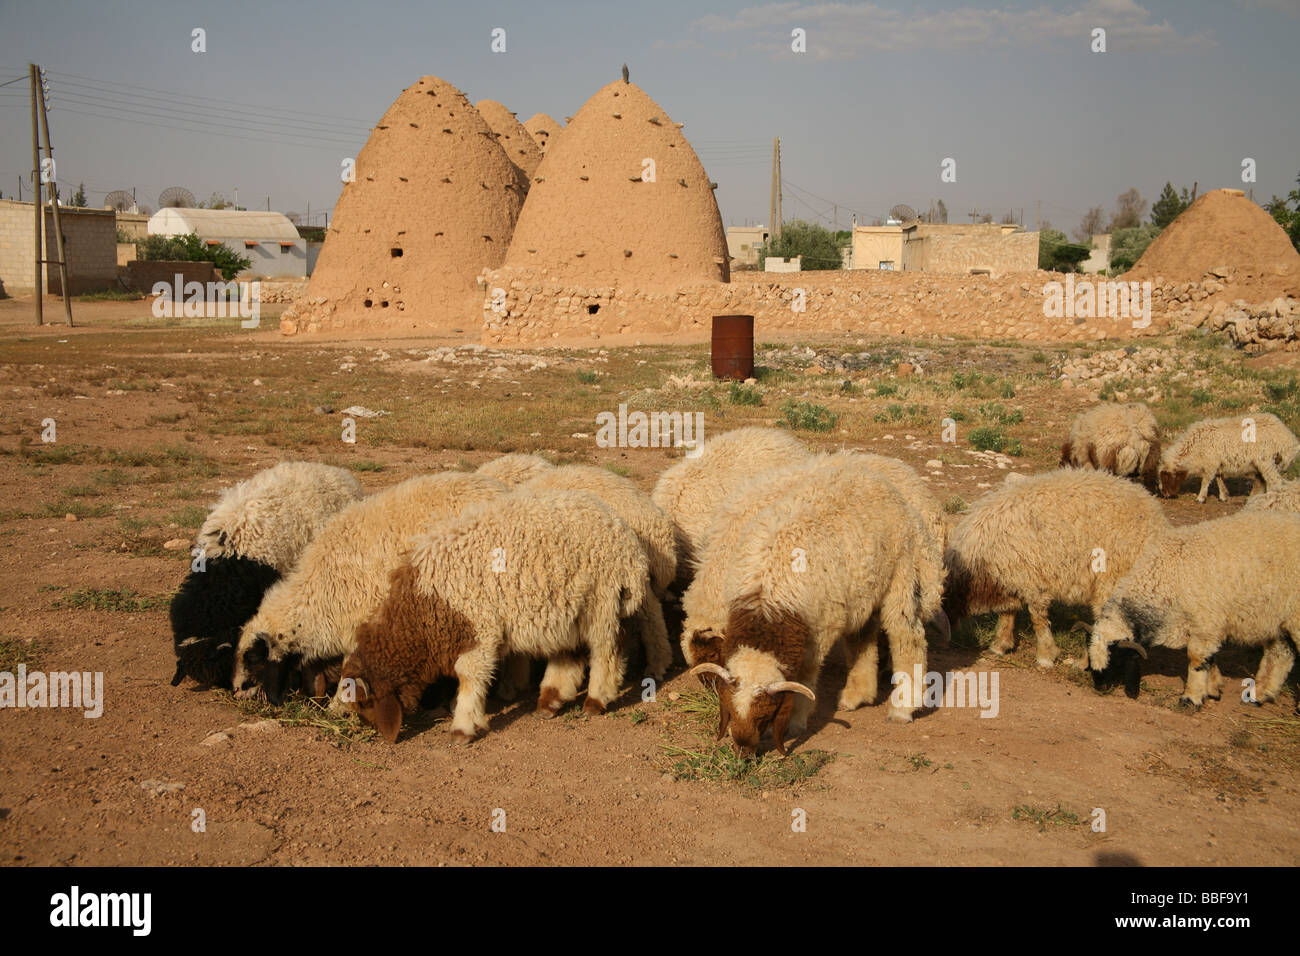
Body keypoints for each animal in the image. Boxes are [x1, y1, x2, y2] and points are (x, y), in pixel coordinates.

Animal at [340, 489, 647, 743]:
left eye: (364, 703)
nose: (380, 735)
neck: (425, 605)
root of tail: (625, 534)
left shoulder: (480, 629)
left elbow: (468, 678)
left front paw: (462, 727)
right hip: (568, 607)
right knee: (568, 653)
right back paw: (550, 700)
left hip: (603, 601)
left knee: (606, 651)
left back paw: (596, 700)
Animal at [689, 459, 942, 754]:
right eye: (729, 708)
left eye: (766, 714)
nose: (744, 749)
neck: (767, 598)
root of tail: (881, 484)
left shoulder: (820, 630)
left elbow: (805, 677)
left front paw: (796, 721)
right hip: (862, 591)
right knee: (862, 639)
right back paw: (857, 694)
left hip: (901, 575)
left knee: (907, 639)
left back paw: (903, 707)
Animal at [943, 469, 1169, 668]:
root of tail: (1157, 519)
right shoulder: (1010, 574)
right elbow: (1008, 612)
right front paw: (1000, 645)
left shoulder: (1029, 577)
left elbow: (1037, 618)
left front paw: (1045, 655)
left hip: (1113, 581)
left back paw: (1085, 663)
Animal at [1088, 509, 1300, 709]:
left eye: (1117, 660)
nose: (1100, 687)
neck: (1165, 575)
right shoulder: (1207, 628)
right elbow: (1210, 658)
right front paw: (1212, 689)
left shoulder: (1205, 623)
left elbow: (1197, 659)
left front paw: (1191, 699)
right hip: (1279, 617)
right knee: (1280, 655)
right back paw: (1259, 695)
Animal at [1157, 412, 1299, 502]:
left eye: (1166, 477)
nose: (1165, 494)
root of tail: (1288, 438)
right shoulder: (1217, 463)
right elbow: (1219, 478)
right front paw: (1223, 496)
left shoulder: (1211, 462)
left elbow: (1206, 480)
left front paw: (1200, 498)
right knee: (1262, 481)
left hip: (1266, 461)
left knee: (1275, 481)